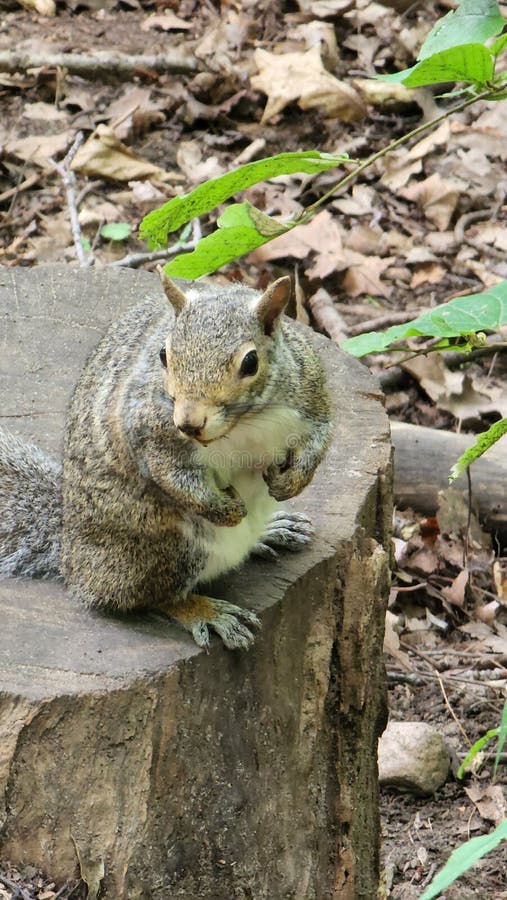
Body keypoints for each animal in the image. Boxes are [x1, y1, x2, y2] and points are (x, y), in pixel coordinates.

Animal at [0, 273, 331, 650]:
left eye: (250, 362)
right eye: (163, 354)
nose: (189, 423)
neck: (243, 422)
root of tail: (70, 553)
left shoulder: (311, 394)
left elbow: (320, 437)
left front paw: (294, 480)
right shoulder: (148, 431)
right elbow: (172, 476)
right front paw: (227, 510)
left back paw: (271, 530)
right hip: (167, 550)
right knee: (147, 598)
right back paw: (206, 611)